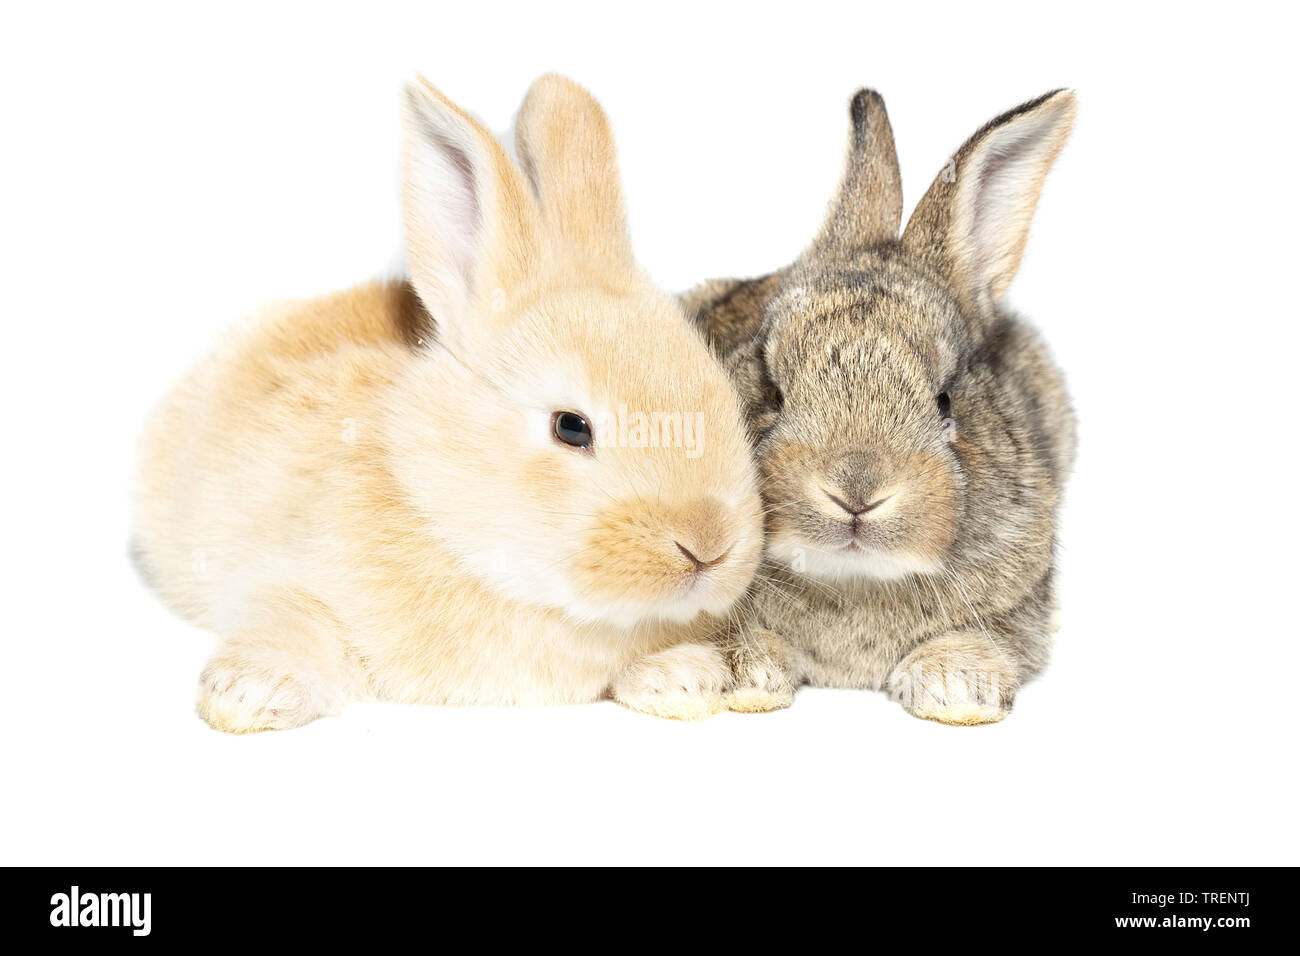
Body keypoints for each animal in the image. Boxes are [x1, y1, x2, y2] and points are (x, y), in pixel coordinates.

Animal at [133, 74, 766, 732]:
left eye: (726, 400)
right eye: (571, 427)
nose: (708, 545)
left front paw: (685, 679)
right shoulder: (275, 572)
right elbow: (290, 618)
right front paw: (248, 693)